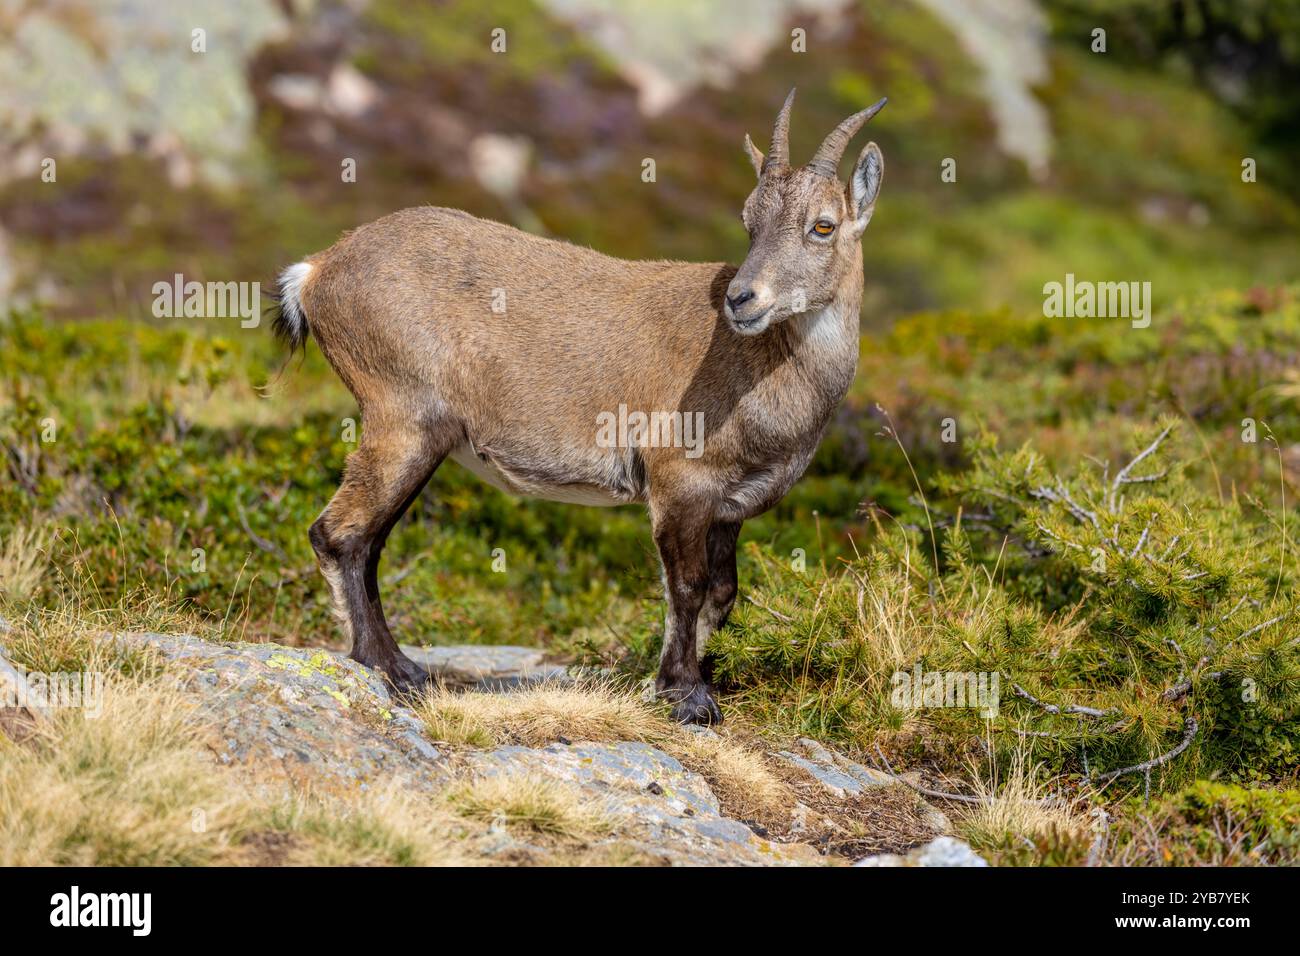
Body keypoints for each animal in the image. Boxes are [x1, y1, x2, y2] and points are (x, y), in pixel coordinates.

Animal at [272, 89, 885, 724]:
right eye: (749, 223)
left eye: (822, 226)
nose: (742, 299)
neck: (767, 362)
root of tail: (317, 272)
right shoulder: (679, 482)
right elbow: (686, 586)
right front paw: (686, 697)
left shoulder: (729, 505)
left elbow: (722, 591)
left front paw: (703, 679)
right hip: (406, 418)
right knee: (341, 534)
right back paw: (393, 668)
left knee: (364, 539)